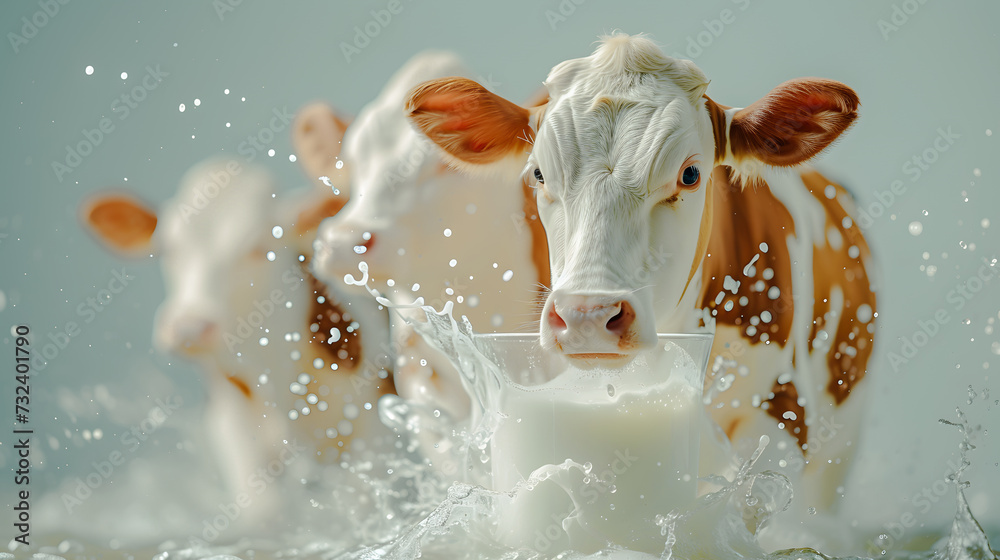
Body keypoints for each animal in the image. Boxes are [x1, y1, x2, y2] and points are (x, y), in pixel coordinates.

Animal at [81, 111, 393, 518]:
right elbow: (265, 511)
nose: (190, 326)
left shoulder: (375, 429)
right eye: (169, 249)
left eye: (260, 247)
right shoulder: (231, 425)